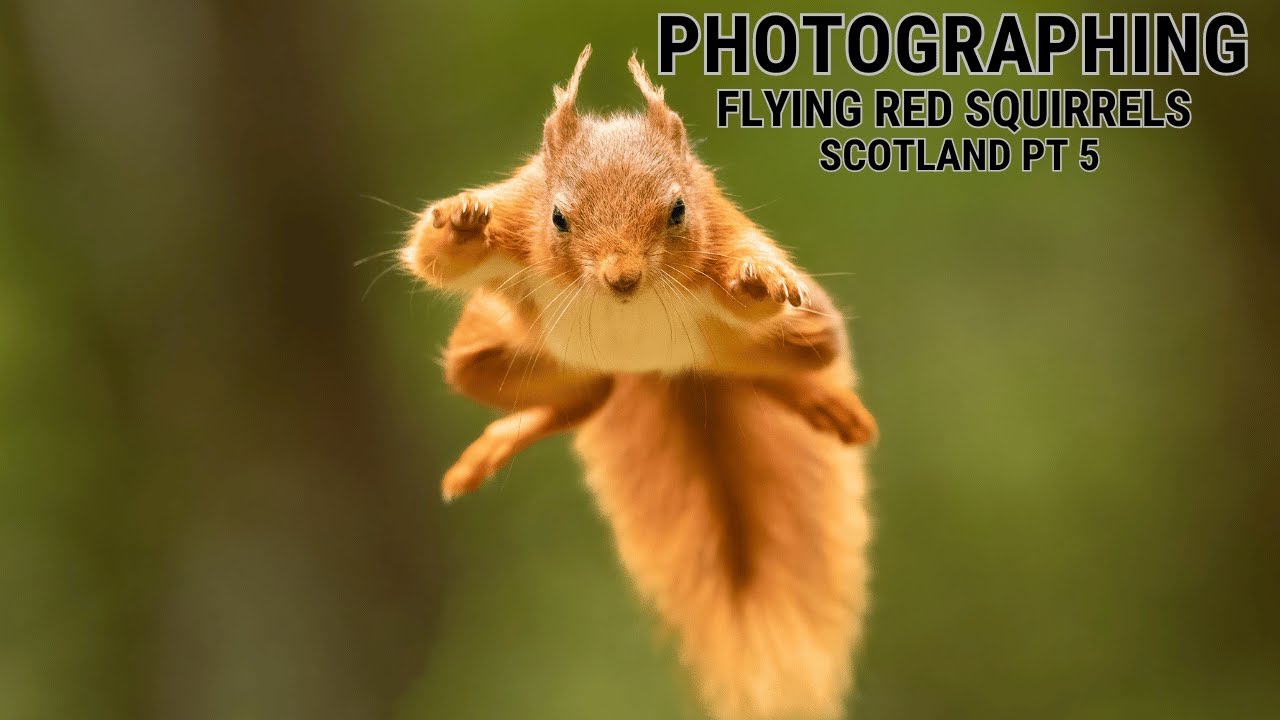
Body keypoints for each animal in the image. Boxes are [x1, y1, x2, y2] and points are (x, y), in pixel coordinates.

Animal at [401, 45, 876, 720]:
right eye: (558, 217)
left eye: (678, 210)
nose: (622, 278)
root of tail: (654, 370)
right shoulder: (515, 218)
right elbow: (430, 257)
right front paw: (463, 222)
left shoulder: (720, 239)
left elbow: (748, 283)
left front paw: (757, 279)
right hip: (487, 355)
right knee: (583, 397)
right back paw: (496, 447)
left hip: (803, 334)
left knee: (771, 366)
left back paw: (818, 402)